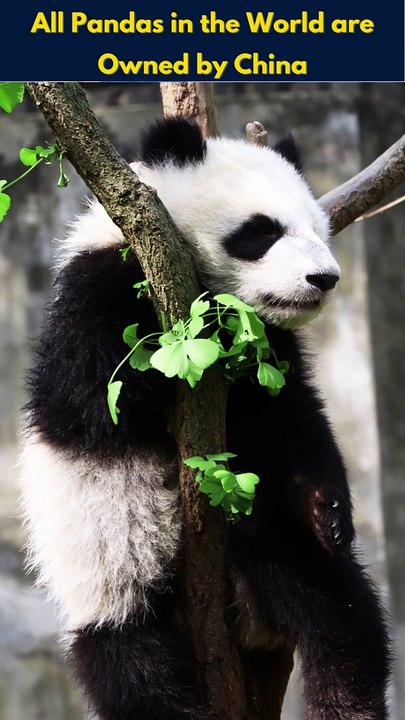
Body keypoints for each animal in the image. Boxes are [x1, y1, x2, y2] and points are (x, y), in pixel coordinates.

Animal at [20, 117, 390, 720]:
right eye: (261, 232)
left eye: (318, 228)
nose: (324, 279)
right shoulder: (99, 296)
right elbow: (102, 402)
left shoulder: (269, 356)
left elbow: (292, 424)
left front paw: (329, 510)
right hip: (115, 591)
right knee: (136, 672)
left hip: (286, 561)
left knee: (341, 613)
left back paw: (346, 700)